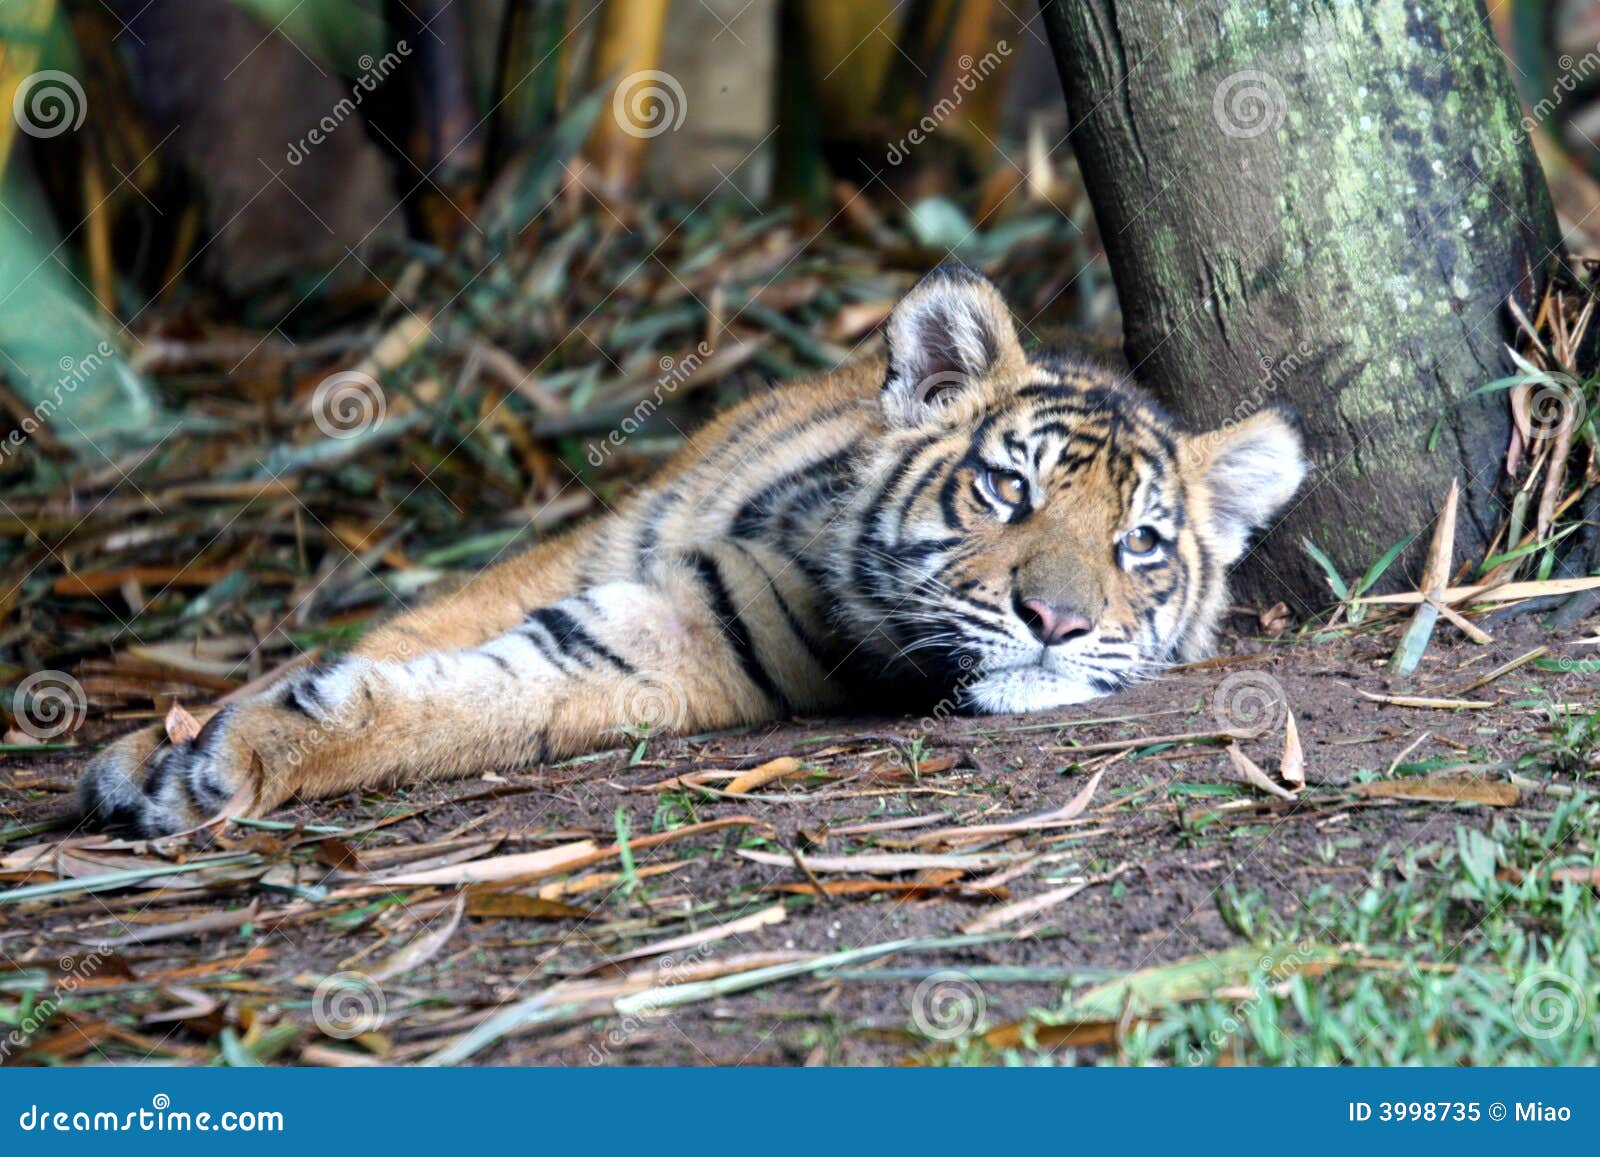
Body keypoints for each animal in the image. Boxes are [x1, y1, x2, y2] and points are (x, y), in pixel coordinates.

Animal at [77, 265, 1307, 837]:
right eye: (1008, 487)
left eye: (1139, 543)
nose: (1055, 622)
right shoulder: (579, 557)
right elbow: (390, 635)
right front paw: (156, 747)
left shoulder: (682, 639)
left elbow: (465, 703)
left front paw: (241, 759)